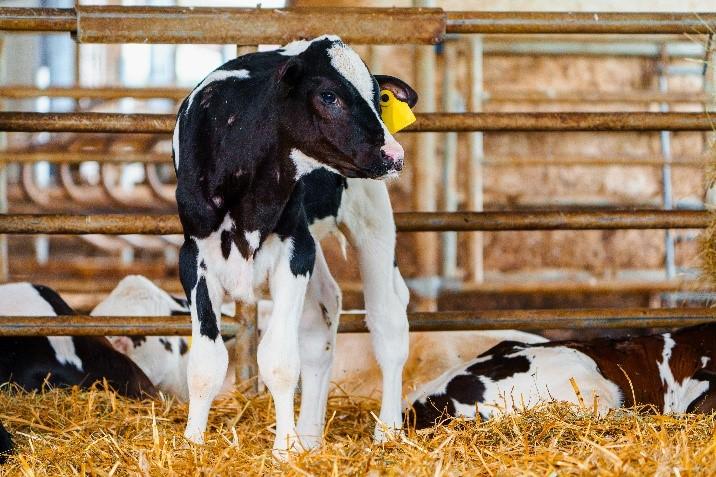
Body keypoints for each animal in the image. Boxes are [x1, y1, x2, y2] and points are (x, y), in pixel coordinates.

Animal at [173, 35, 417, 455]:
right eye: (329, 95)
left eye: (377, 96)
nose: (393, 154)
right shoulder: (193, 257)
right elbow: (206, 362)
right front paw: (193, 444)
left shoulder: (294, 250)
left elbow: (279, 360)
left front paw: (284, 451)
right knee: (323, 315)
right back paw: (311, 437)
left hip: (371, 219)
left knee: (388, 322)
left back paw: (386, 431)